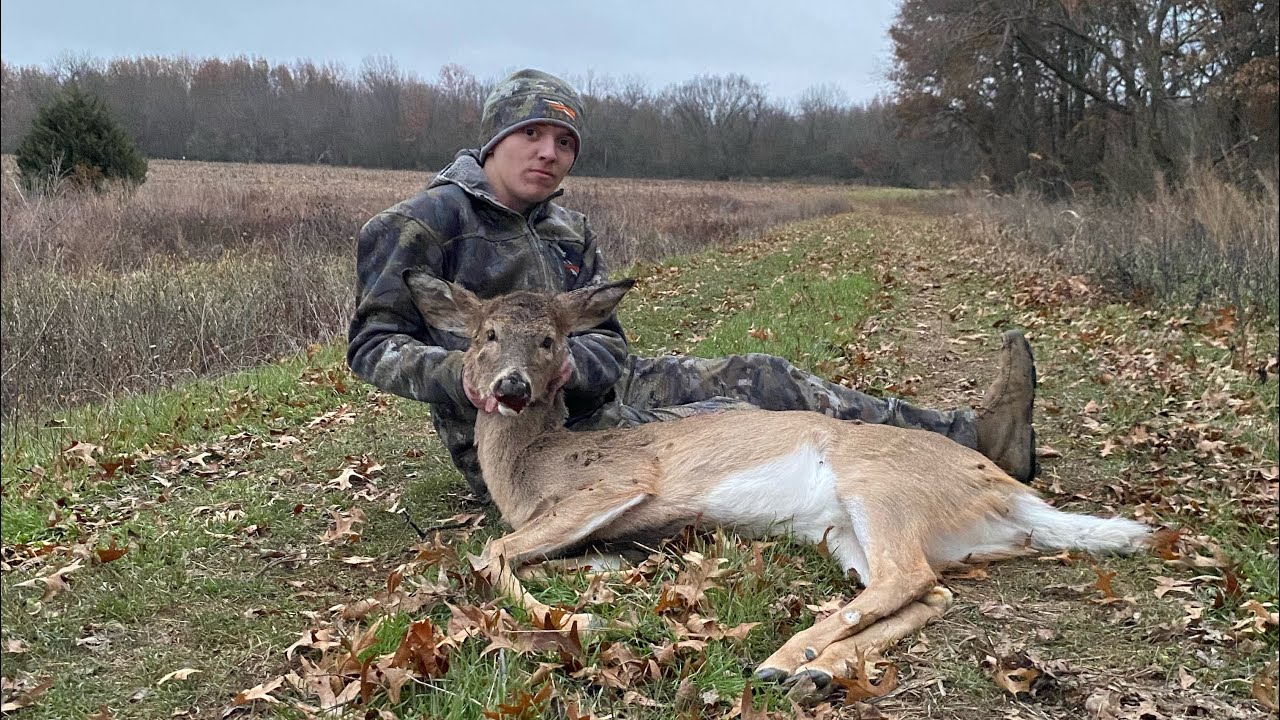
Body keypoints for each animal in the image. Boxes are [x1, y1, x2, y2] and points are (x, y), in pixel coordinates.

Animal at [403, 269, 1152, 691]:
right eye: (486, 336)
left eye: (551, 341)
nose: (511, 386)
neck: (534, 464)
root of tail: (1013, 495)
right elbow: (523, 555)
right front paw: (590, 589)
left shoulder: (615, 484)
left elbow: (491, 552)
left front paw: (574, 619)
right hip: (848, 533)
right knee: (930, 593)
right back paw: (814, 671)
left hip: (878, 489)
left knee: (906, 578)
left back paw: (786, 659)